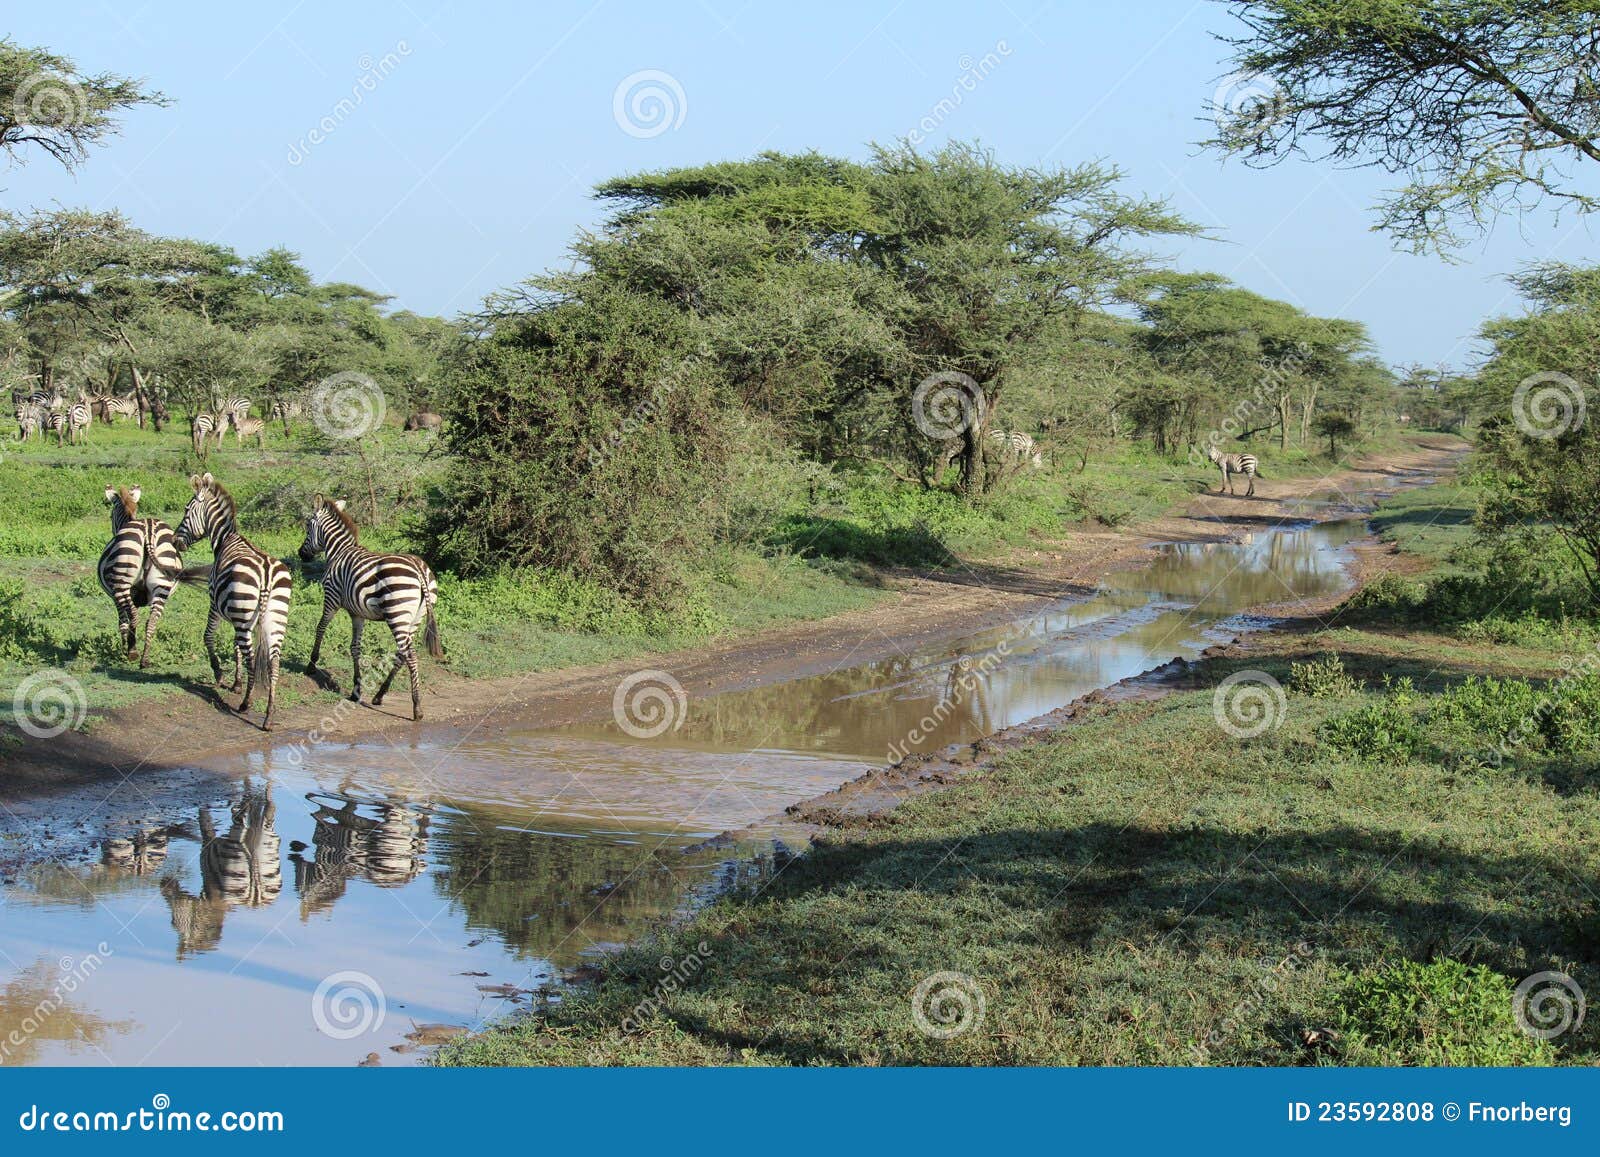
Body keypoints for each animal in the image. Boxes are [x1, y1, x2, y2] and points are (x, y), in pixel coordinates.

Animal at [98, 485, 185, 667]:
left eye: (110, 516)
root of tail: (149, 531)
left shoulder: (116, 596)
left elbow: (123, 622)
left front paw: (125, 649)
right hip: (162, 584)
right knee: (151, 620)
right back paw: (144, 659)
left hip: (122, 581)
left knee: (133, 616)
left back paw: (132, 653)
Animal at [174, 472, 294, 730]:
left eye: (187, 510)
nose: (175, 541)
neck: (225, 539)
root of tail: (267, 572)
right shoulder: (235, 612)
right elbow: (234, 646)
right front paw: (236, 683)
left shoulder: (215, 602)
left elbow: (209, 635)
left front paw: (220, 674)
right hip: (272, 617)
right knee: (273, 661)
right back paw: (269, 715)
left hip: (244, 614)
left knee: (252, 659)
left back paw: (246, 704)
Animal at [299, 495, 442, 721]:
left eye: (307, 525)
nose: (301, 555)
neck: (339, 552)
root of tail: (419, 569)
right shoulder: (357, 613)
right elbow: (355, 648)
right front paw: (356, 691)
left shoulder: (331, 597)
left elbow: (320, 627)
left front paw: (311, 665)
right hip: (415, 618)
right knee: (402, 653)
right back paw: (379, 695)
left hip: (397, 614)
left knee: (409, 654)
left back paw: (417, 707)